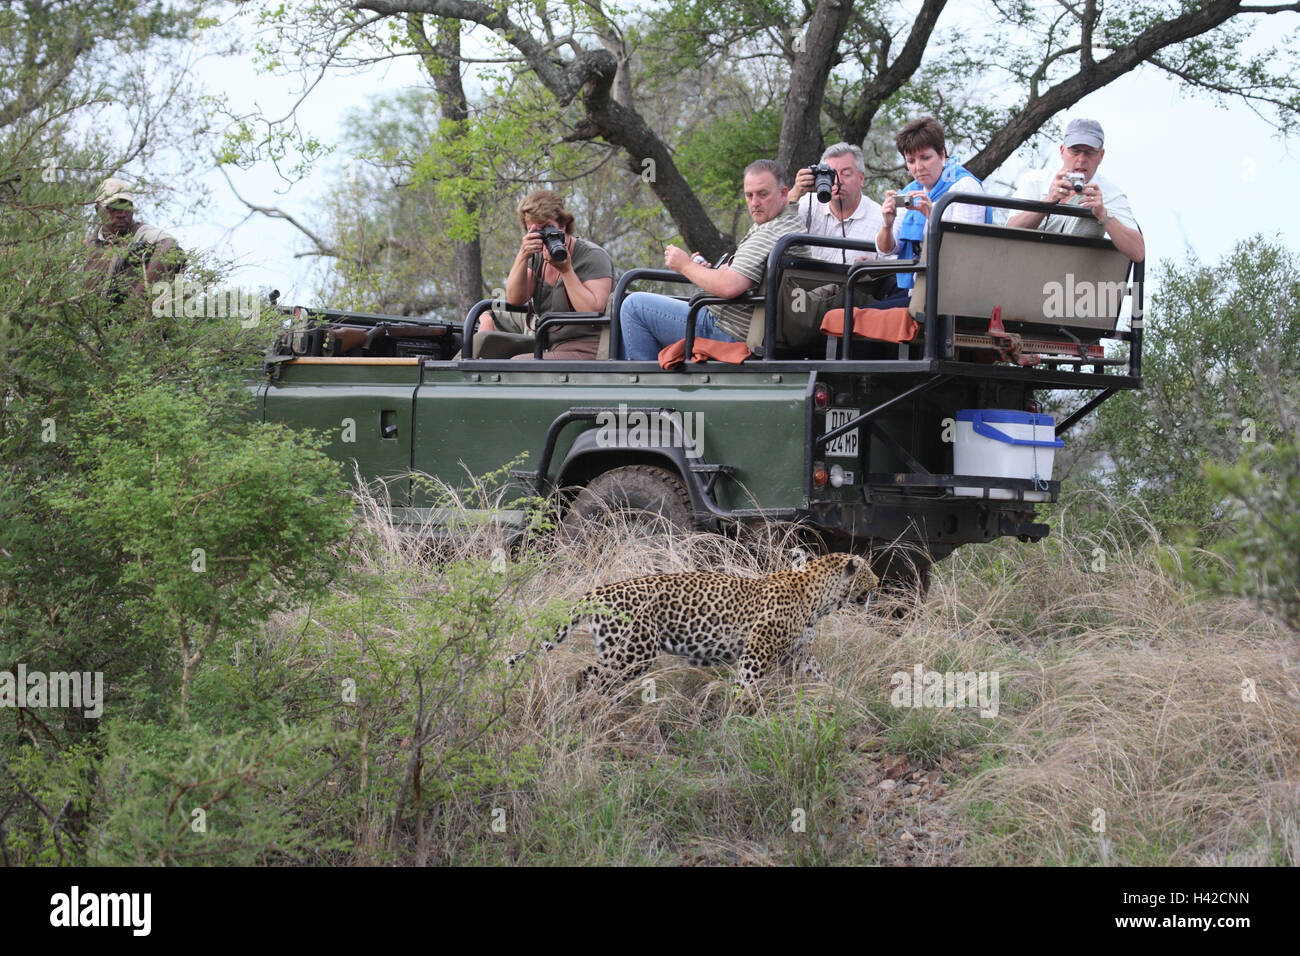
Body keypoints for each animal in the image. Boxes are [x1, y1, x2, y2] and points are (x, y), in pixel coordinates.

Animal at [507, 552, 876, 695]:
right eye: (870, 574)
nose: (878, 585)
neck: (818, 600)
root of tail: (597, 590)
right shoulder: (757, 652)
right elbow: (747, 685)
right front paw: (741, 714)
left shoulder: (799, 654)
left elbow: (819, 674)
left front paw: (839, 696)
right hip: (633, 651)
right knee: (589, 676)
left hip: (617, 650)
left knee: (594, 675)